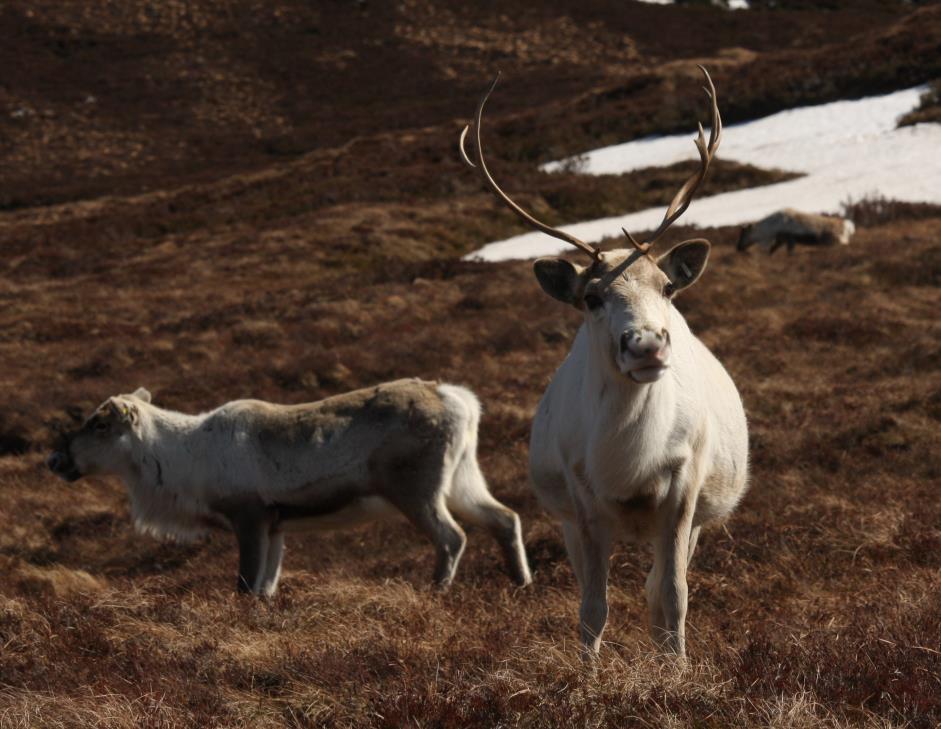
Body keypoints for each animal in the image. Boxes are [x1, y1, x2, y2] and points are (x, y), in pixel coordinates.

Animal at [47, 380, 532, 595]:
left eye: (99, 424)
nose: (55, 460)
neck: (182, 459)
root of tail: (461, 400)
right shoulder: (276, 524)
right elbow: (267, 588)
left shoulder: (249, 517)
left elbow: (245, 585)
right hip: (463, 477)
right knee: (506, 518)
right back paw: (522, 584)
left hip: (417, 489)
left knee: (453, 536)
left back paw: (435, 593)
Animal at [460, 67, 749, 658]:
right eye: (591, 297)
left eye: (667, 288)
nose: (646, 345)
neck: (629, 465)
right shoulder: (583, 501)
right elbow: (593, 608)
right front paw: (586, 670)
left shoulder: (683, 492)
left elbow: (673, 597)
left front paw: (676, 668)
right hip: (569, 521)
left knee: (659, 586)